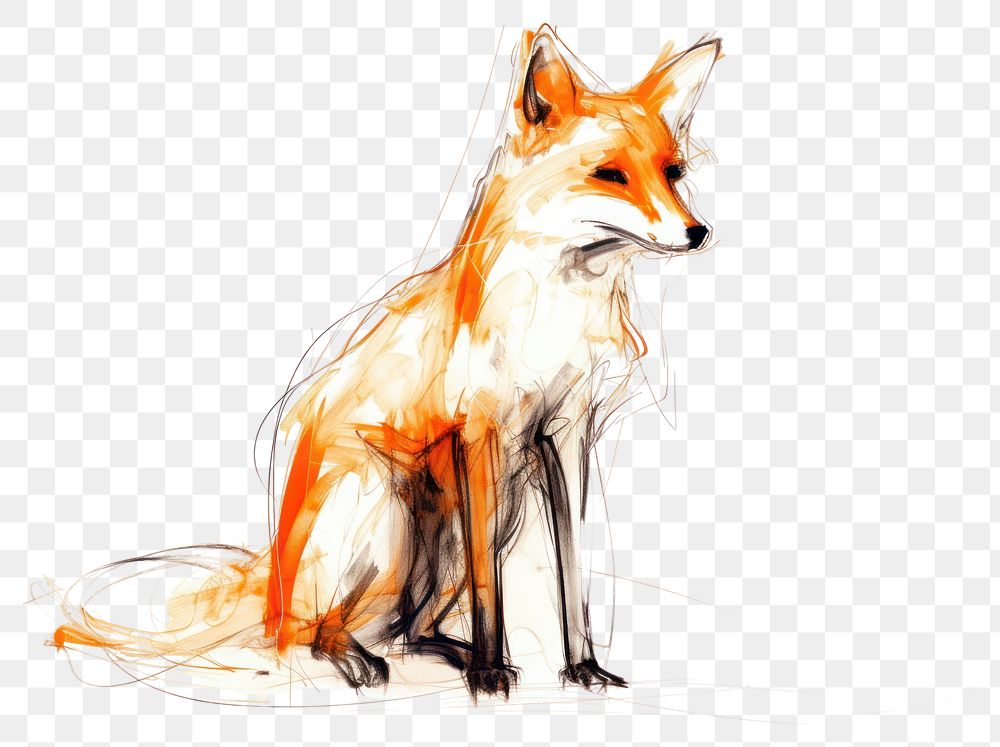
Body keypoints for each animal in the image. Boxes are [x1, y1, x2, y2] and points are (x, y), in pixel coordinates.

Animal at [50, 25, 722, 699]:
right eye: (610, 175)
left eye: (673, 173)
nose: (698, 233)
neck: (554, 316)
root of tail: (273, 589)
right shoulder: (478, 429)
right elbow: (491, 588)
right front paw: (489, 674)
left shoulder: (568, 433)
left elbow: (575, 569)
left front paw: (581, 667)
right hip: (390, 509)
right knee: (321, 630)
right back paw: (361, 660)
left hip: (464, 529)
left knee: (410, 625)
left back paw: (440, 649)